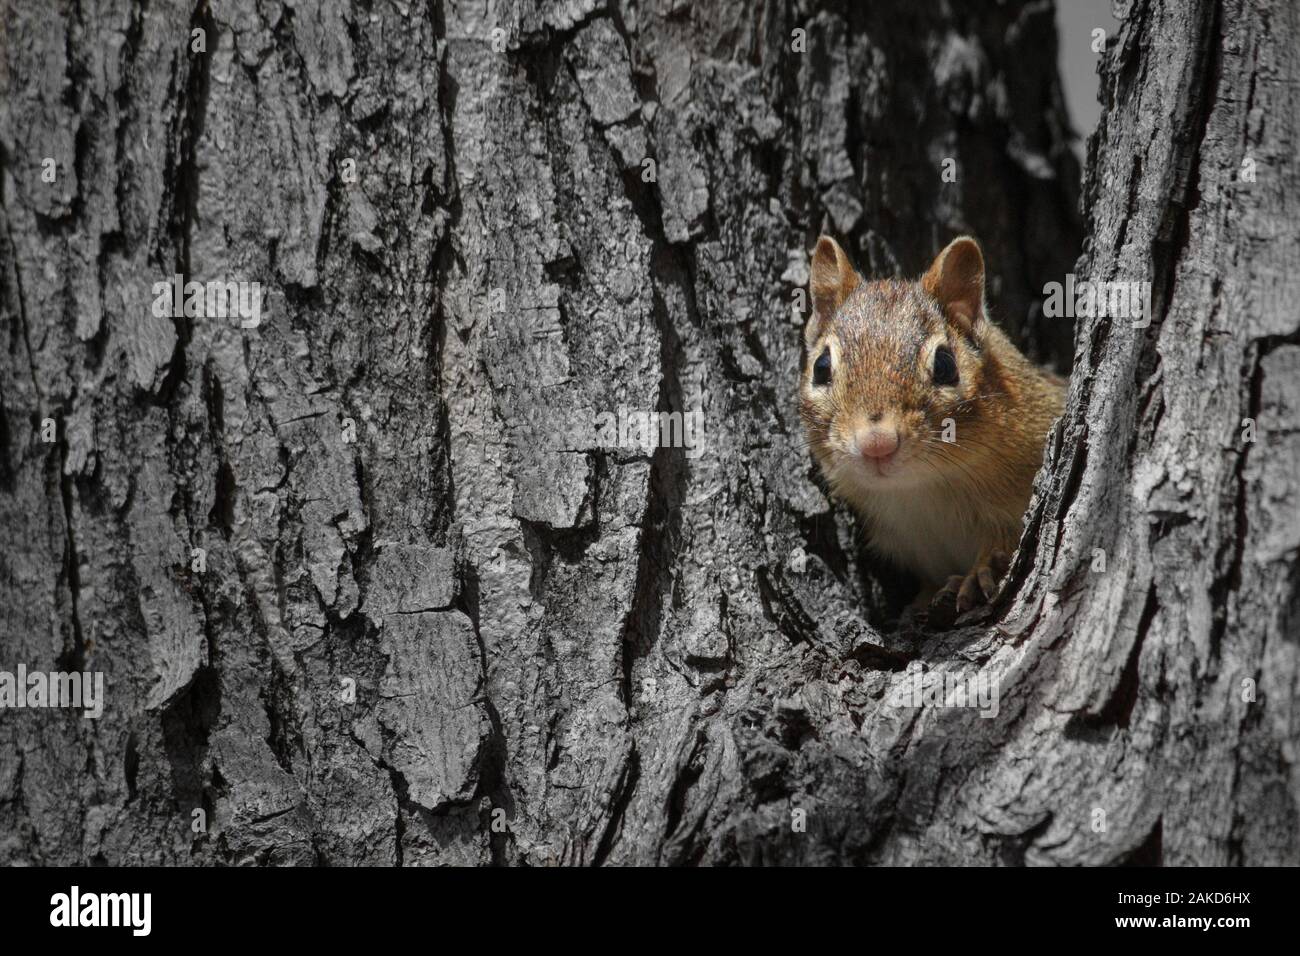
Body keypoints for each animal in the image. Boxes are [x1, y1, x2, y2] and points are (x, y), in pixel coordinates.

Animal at [798, 235, 1065, 623]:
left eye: (944, 365)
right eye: (821, 367)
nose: (876, 444)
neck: (924, 489)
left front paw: (978, 573)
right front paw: (921, 602)